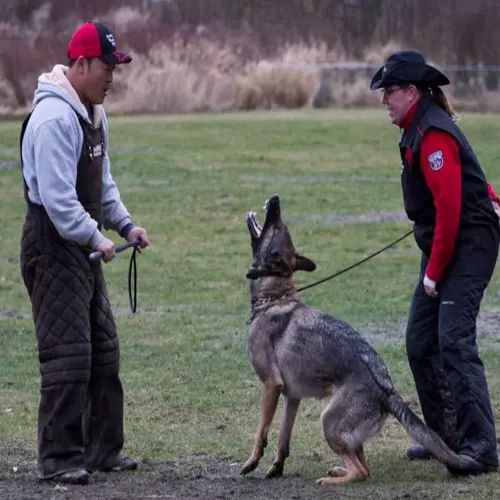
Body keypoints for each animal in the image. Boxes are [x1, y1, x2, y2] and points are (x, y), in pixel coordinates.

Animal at [240, 193, 474, 482]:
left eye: (276, 226)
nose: (275, 198)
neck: (274, 297)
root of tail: (387, 390)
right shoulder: (291, 397)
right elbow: (284, 438)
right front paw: (276, 468)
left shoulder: (270, 386)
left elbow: (260, 431)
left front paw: (252, 462)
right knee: (364, 464)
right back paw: (338, 470)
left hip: (328, 421)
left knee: (361, 471)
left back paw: (332, 480)